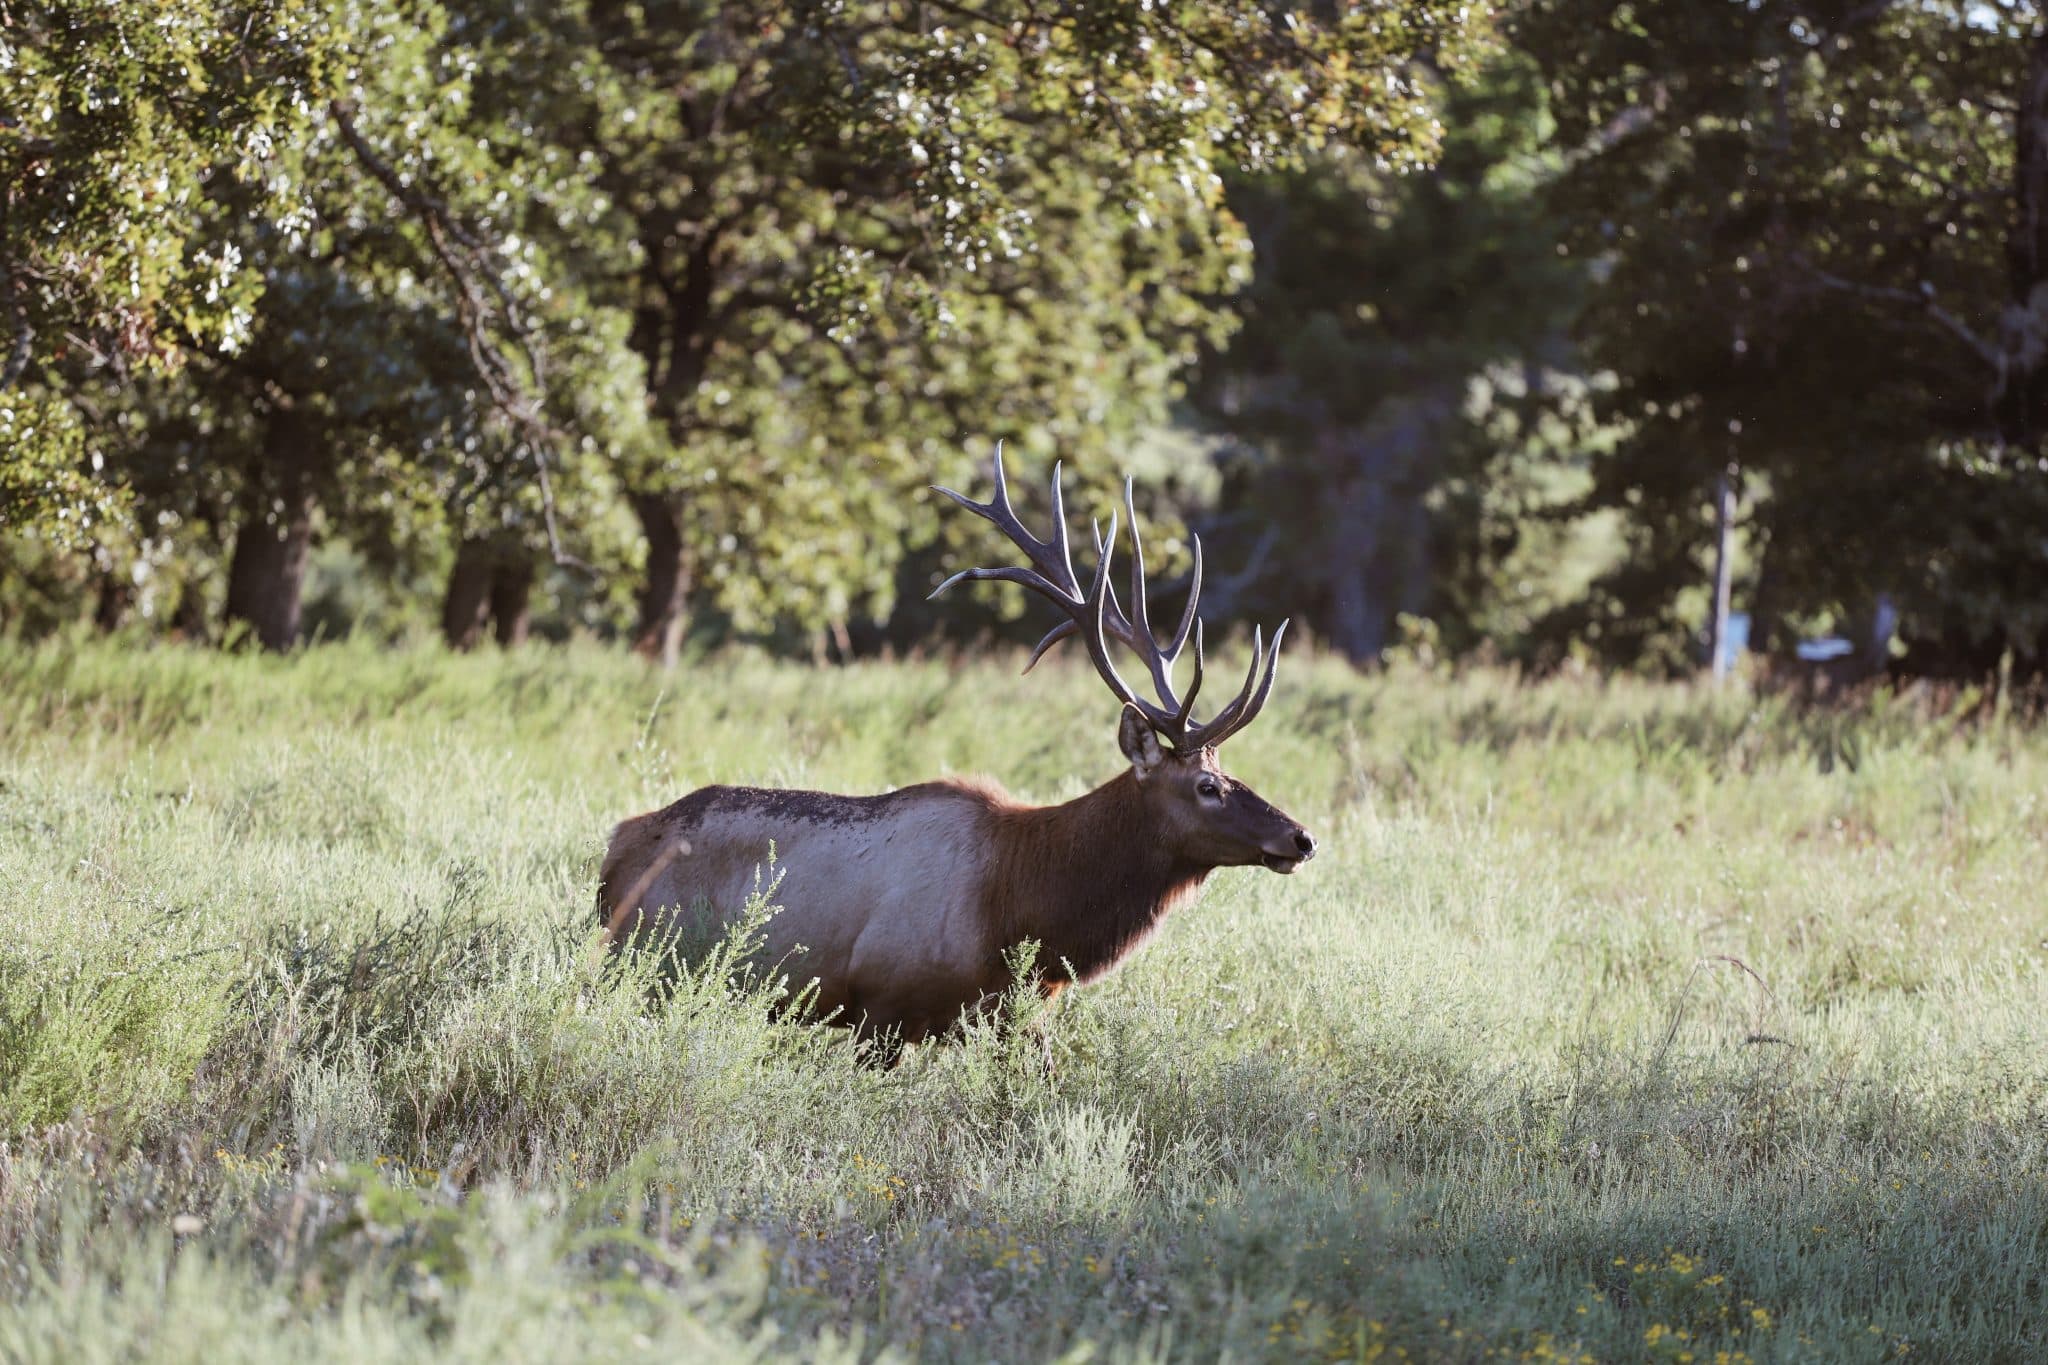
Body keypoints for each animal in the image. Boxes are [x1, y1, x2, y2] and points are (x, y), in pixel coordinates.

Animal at [598, 446, 1316, 1056]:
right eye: (1207, 786)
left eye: (1229, 772)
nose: (1302, 837)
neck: (1023, 910)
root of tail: (613, 850)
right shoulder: (882, 1006)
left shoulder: (1019, 1015)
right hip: (645, 966)